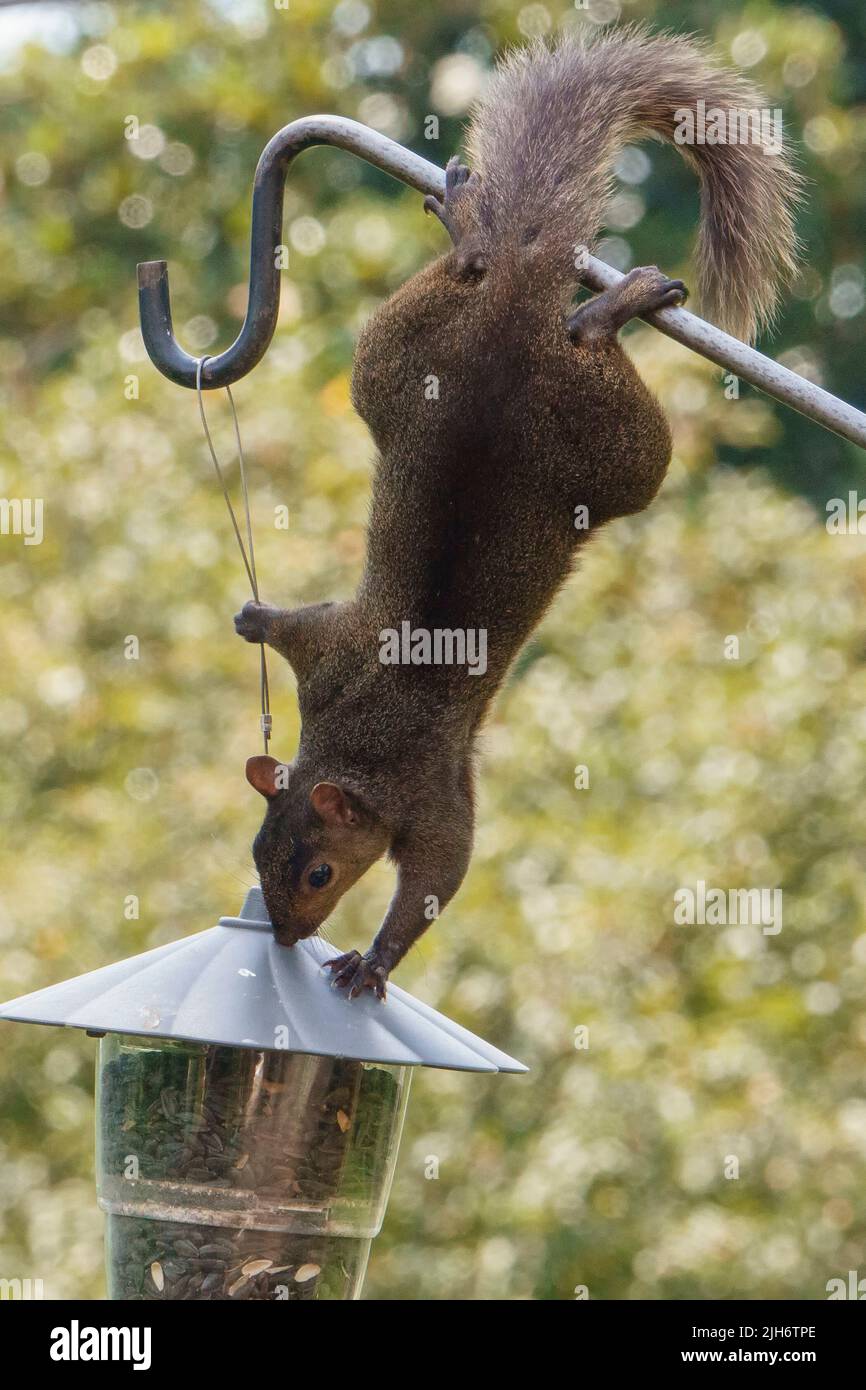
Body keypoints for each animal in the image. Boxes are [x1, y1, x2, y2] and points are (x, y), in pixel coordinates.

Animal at [234, 27, 801, 998]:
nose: (283, 936)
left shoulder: (431, 789)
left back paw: (602, 304)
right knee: (477, 268)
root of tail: (518, 304)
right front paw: (252, 616)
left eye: (317, 873)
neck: (360, 737)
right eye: (256, 855)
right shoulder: (336, 656)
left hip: (617, 450)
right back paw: (480, 231)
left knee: (575, 345)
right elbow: (300, 626)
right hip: (402, 357)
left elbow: (439, 876)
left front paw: (370, 964)